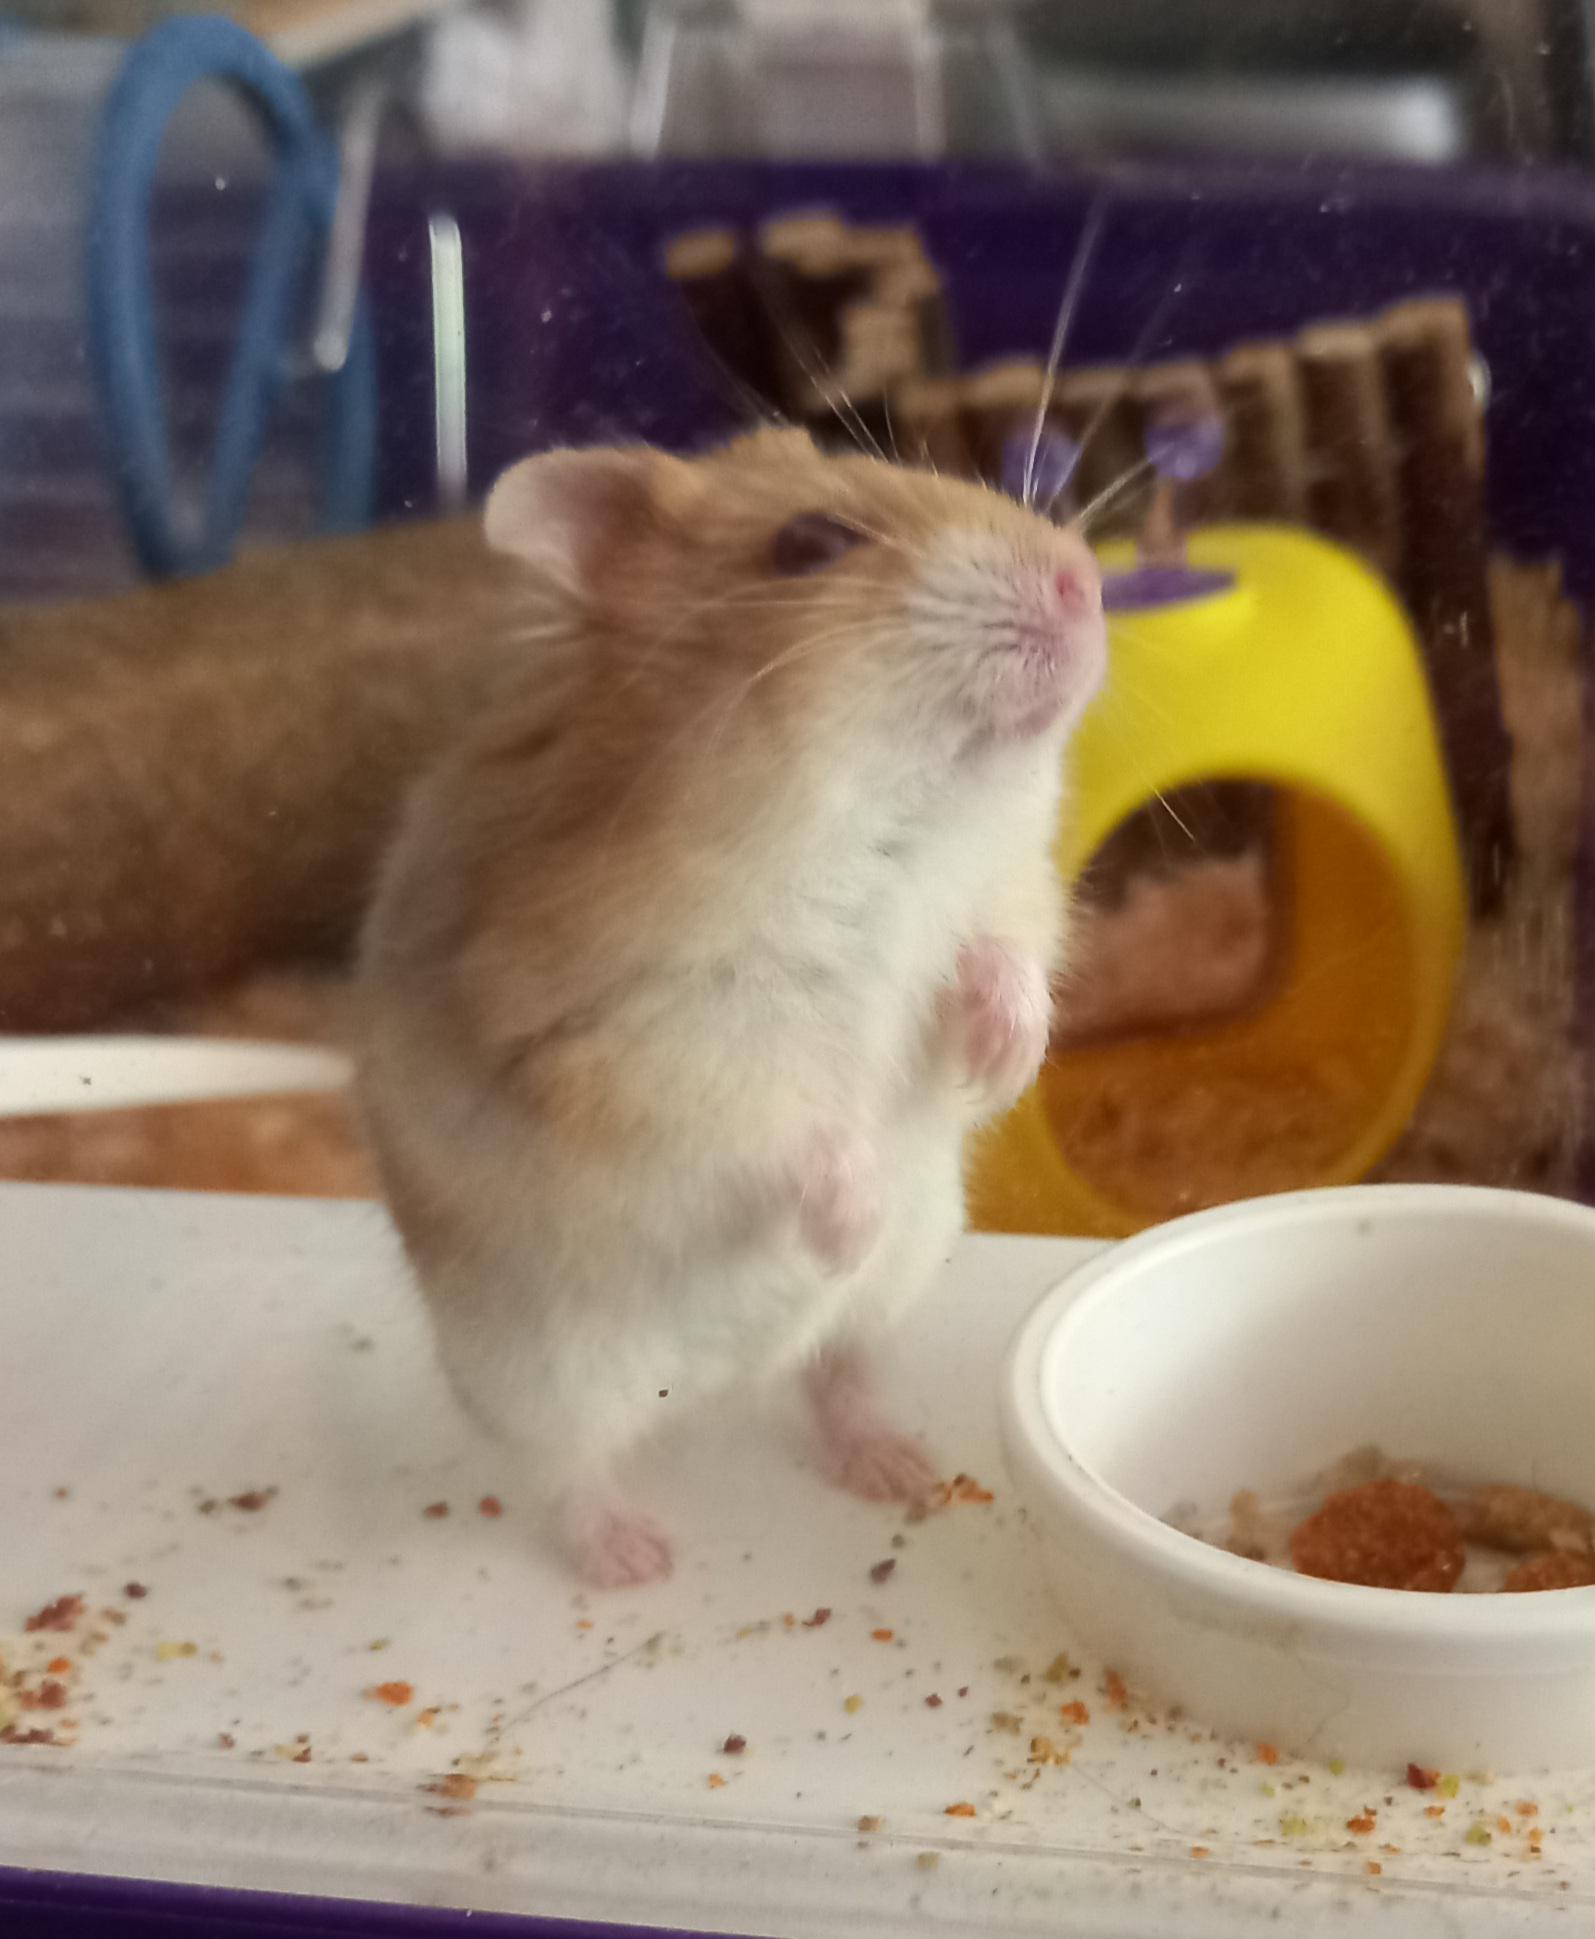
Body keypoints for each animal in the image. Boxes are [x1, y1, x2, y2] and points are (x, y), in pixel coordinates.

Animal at [355, 426, 1106, 1588]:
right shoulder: (636, 1042)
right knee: (566, 1468)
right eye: (810, 544)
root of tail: (709, 1389)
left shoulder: (1004, 899)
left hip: (899, 1285)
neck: (895, 834)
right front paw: (845, 1223)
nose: (1087, 579)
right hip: (537, 1375)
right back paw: (633, 1560)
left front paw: (996, 1060)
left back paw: (899, 1466)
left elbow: (1006, 965)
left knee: (832, 1372)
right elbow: (778, 1122)